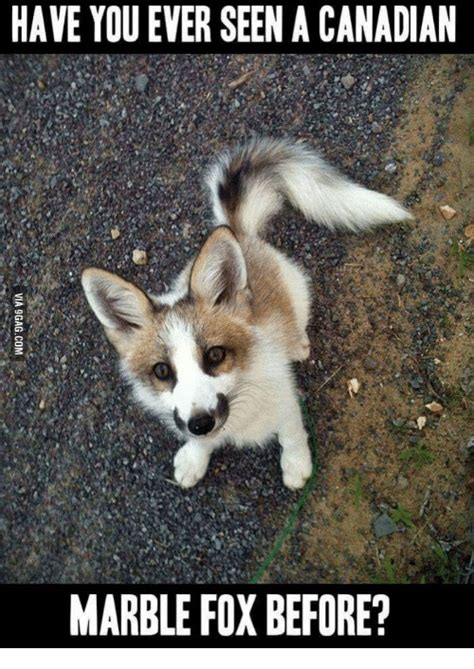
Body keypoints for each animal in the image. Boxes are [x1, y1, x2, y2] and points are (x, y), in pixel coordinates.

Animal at [81, 137, 410, 489]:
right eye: (161, 371)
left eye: (215, 355)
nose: (200, 424)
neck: (242, 393)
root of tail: (237, 232)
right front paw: (195, 457)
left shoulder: (285, 399)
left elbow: (293, 435)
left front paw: (296, 464)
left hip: (297, 289)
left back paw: (298, 343)